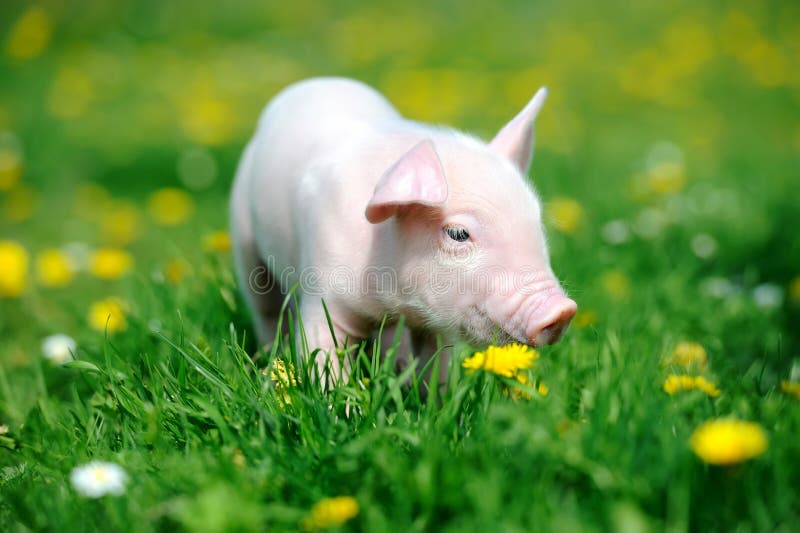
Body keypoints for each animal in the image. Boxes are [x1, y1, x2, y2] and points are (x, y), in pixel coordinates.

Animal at [230, 77, 576, 380]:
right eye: (458, 233)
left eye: (535, 223)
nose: (562, 311)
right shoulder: (323, 292)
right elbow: (323, 353)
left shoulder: (436, 321)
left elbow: (436, 364)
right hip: (244, 240)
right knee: (265, 308)